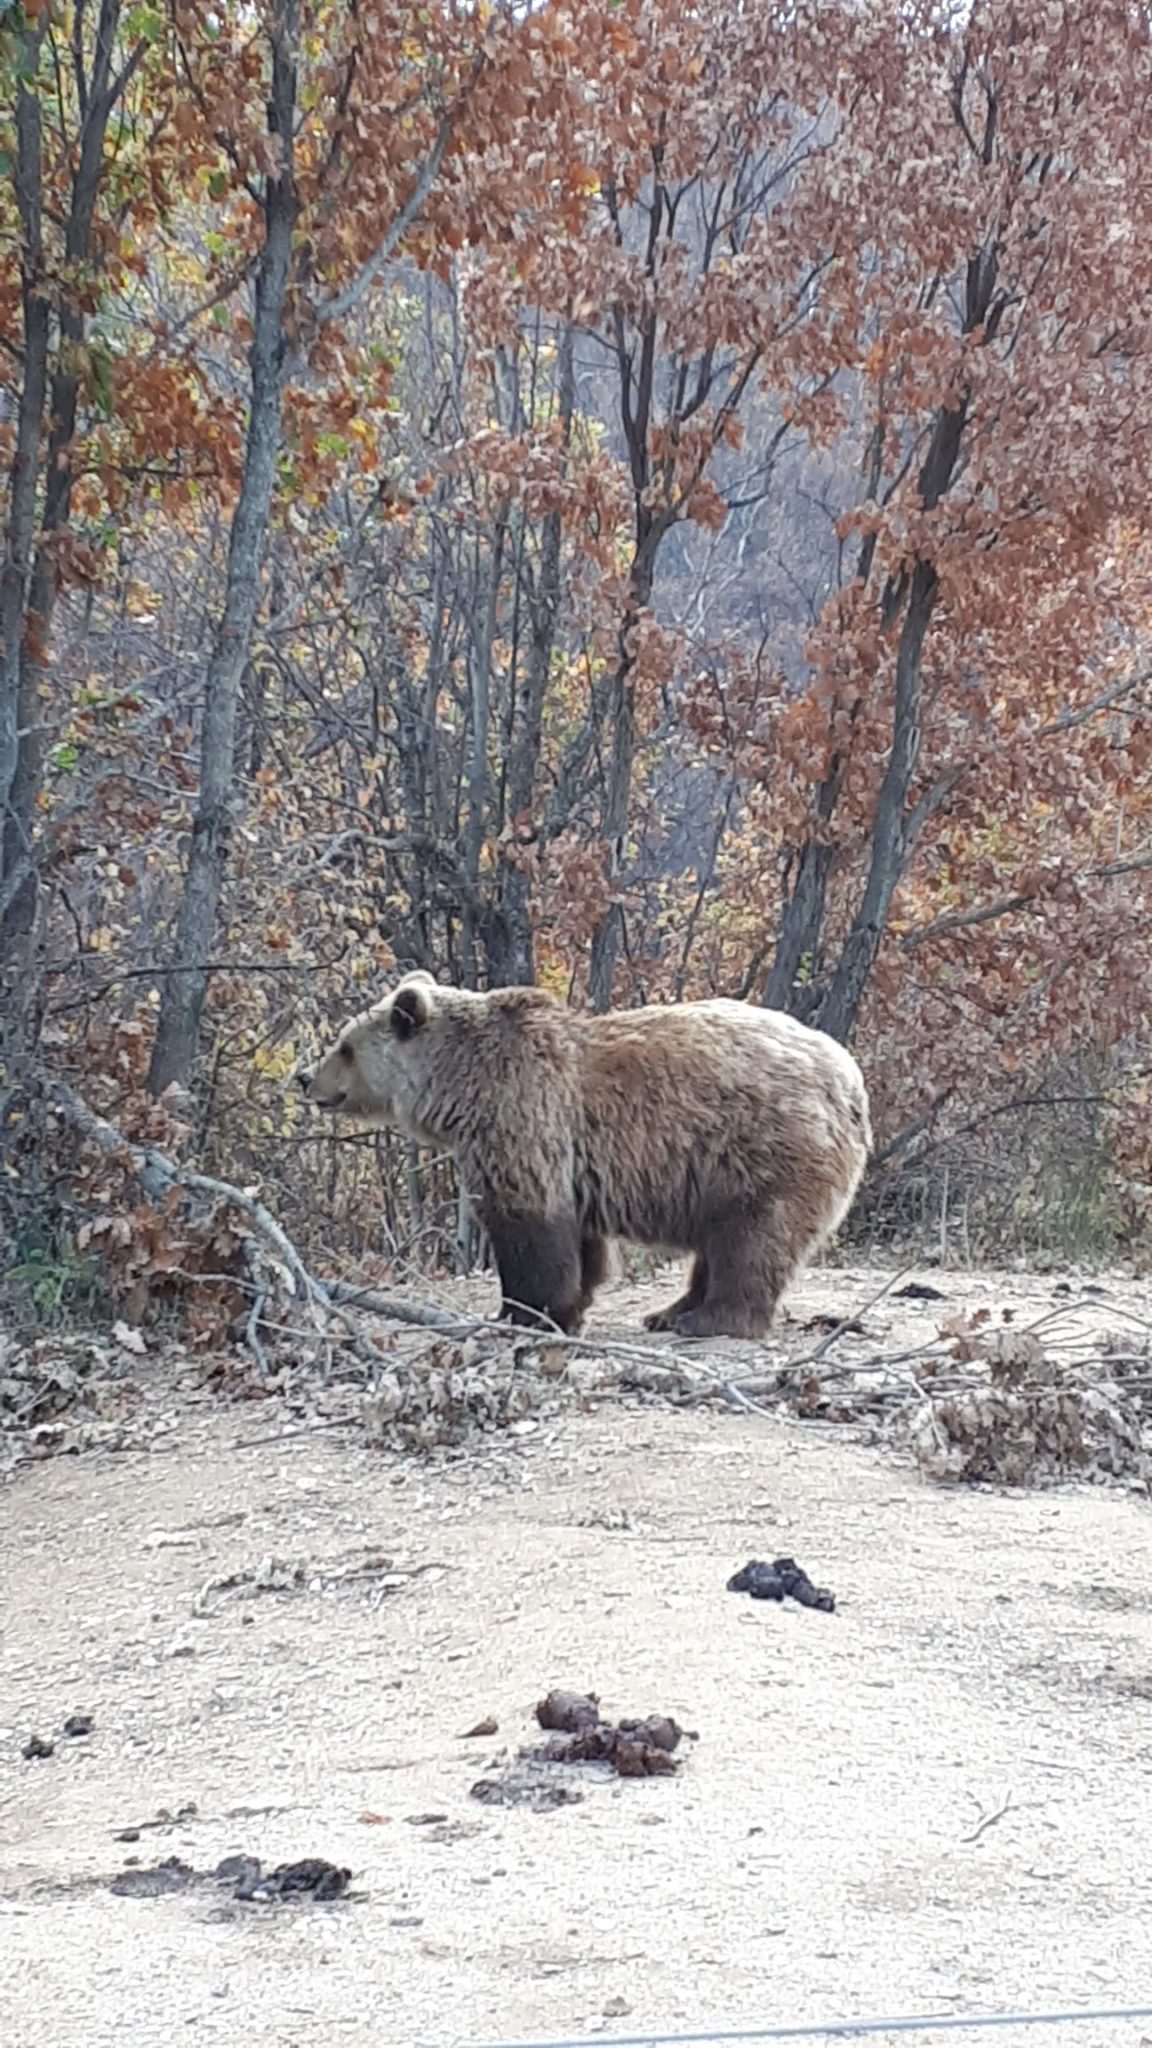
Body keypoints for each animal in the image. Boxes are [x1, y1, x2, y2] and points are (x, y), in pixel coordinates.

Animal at [299, 971, 871, 1341]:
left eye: (345, 1046)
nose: (305, 1077)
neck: (460, 1089)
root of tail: (849, 1080)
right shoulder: (571, 1162)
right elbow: (581, 1244)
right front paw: (568, 1308)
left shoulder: (522, 1120)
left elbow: (530, 1230)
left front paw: (523, 1312)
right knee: (723, 1242)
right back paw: (670, 1311)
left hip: (764, 1145)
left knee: (753, 1240)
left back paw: (710, 1319)